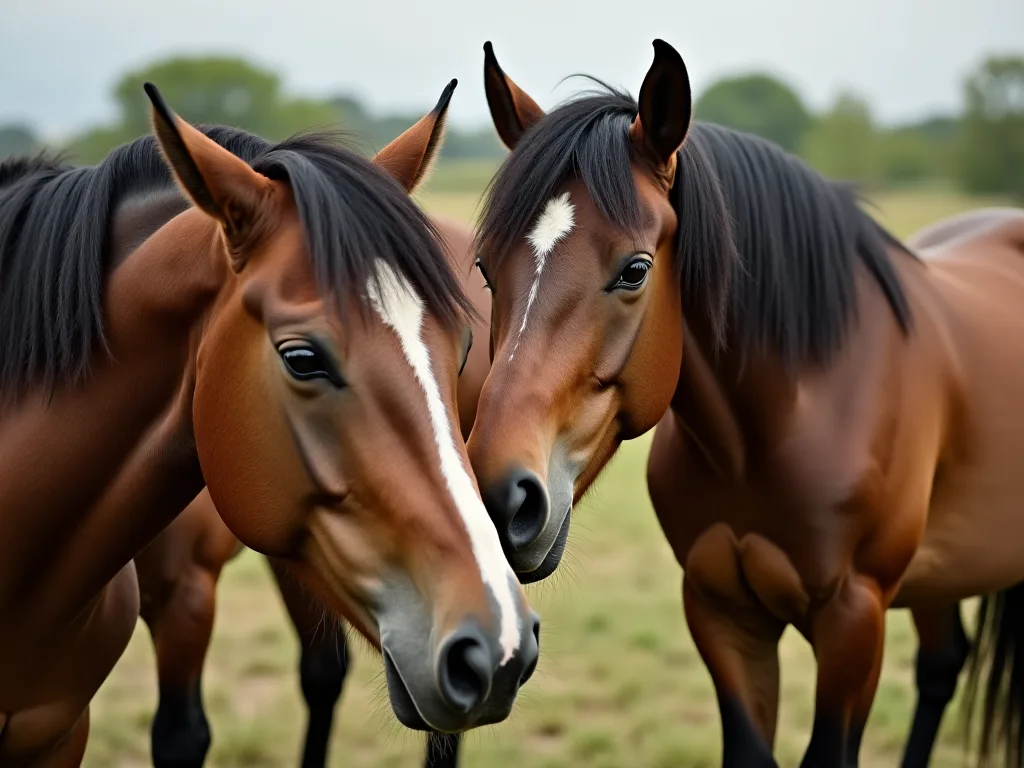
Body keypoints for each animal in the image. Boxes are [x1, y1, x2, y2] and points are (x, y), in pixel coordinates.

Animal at [467, 39, 1024, 767]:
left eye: (635, 269)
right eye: (485, 269)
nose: (501, 497)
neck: (785, 418)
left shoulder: (855, 620)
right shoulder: (721, 609)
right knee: (941, 665)